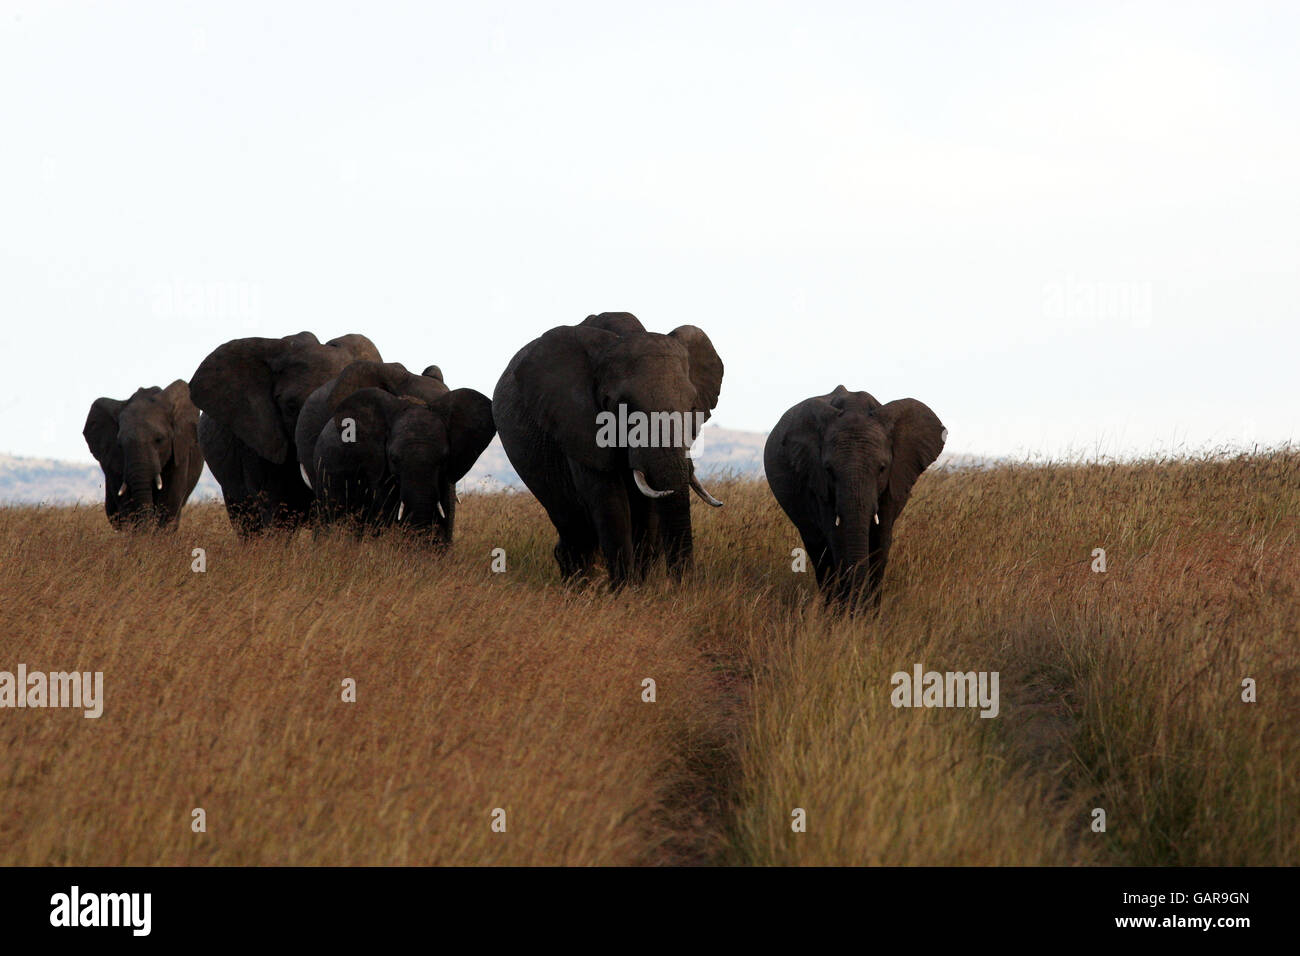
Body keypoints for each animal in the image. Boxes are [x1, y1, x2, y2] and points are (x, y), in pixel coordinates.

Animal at [492, 312, 725, 588]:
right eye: (623, 407)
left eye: (692, 408)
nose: (682, 588)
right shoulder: (575, 421)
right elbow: (609, 500)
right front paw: (625, 591)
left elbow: (646, 509)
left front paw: (639, 588)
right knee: (572, 525)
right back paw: (578, 587)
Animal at [764, 386, 946, 611]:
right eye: (828, 470)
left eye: (882, 468)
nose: (857, 607)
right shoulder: (818, 482)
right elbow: (838, 538)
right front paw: (846, 614)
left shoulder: (894, 479)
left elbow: (881, 539)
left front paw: (869, 614)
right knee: (817, 546)